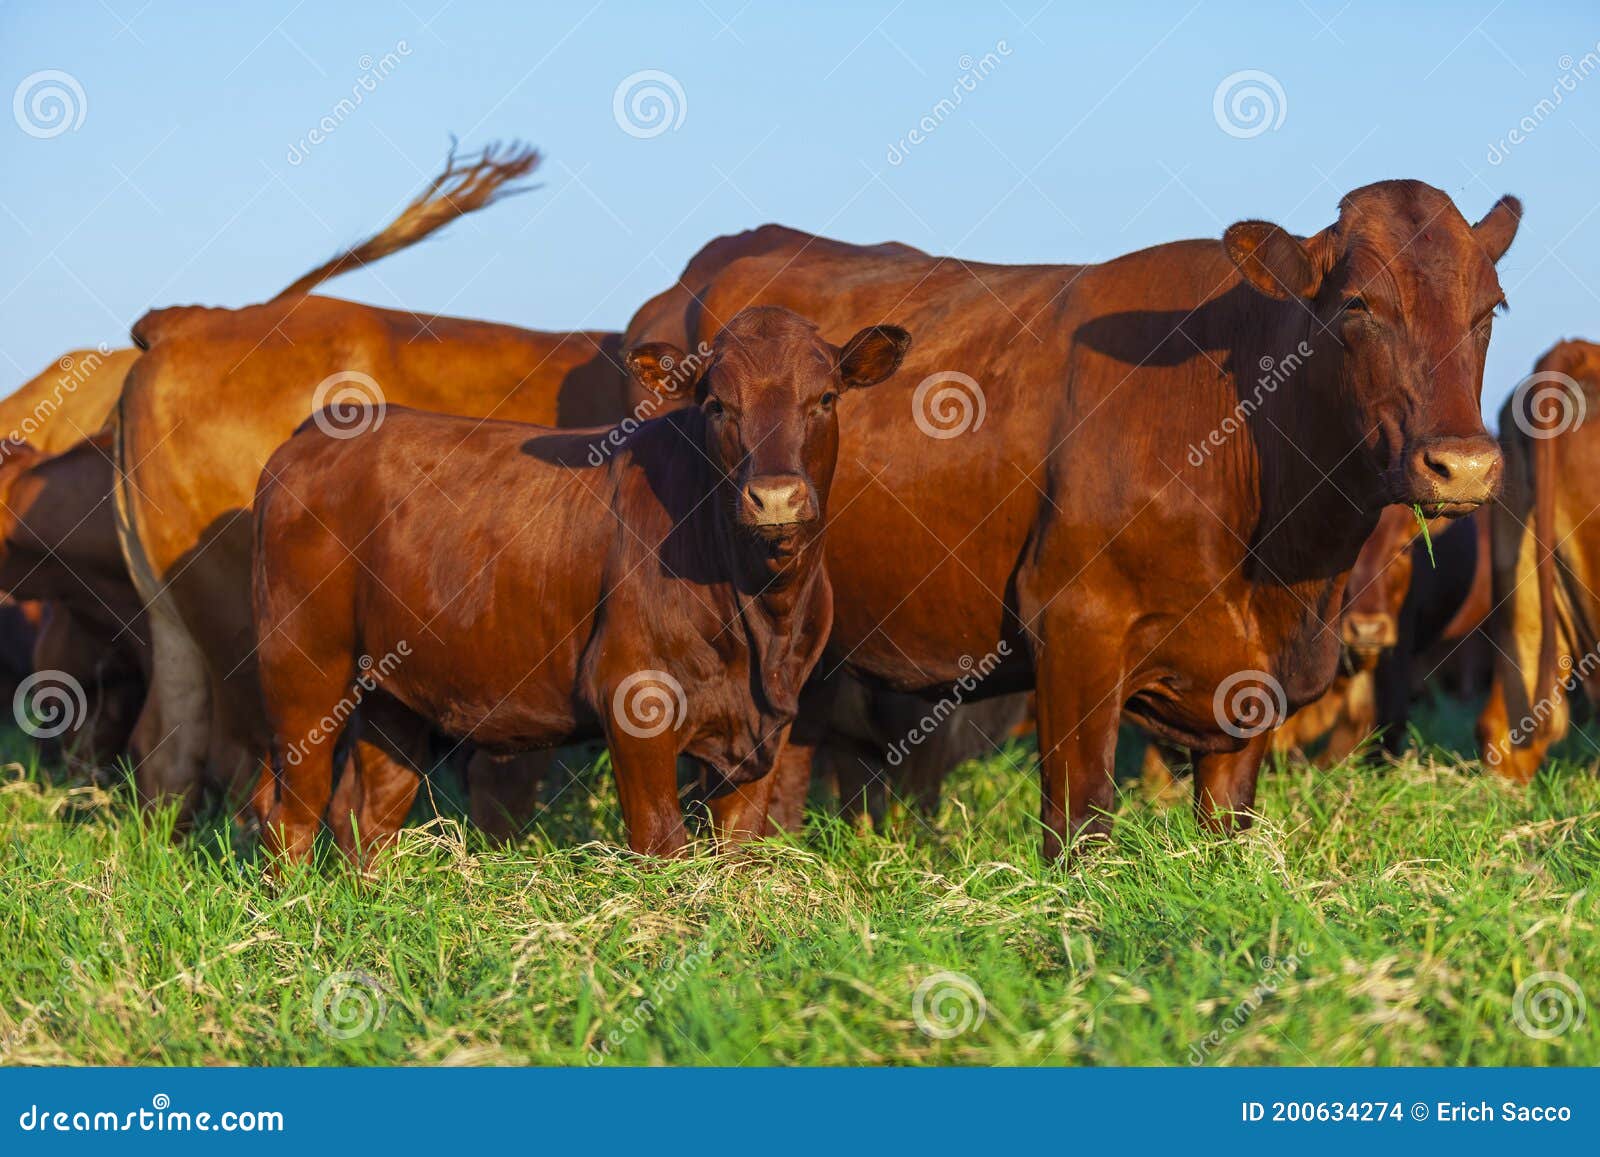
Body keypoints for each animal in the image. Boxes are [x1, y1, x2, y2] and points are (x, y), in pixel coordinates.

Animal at [249, 306, 909, 862]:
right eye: (717, 404)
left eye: (826, 398)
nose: (774, 496)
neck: (763, 618)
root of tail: (315, 434)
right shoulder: (633, 695)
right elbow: (661, 842)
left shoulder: (768, 721)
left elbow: (739, 847)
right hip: (303, 667)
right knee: (290, 811)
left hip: (393, 689)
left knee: (368, 813)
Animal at [625, 180, 1519, 860]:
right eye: (1359, 304)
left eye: (1491, 309)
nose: (1463, 463)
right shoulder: (1076, 624)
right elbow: (1080, 816)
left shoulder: (1249, 675)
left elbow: (1227, 820)